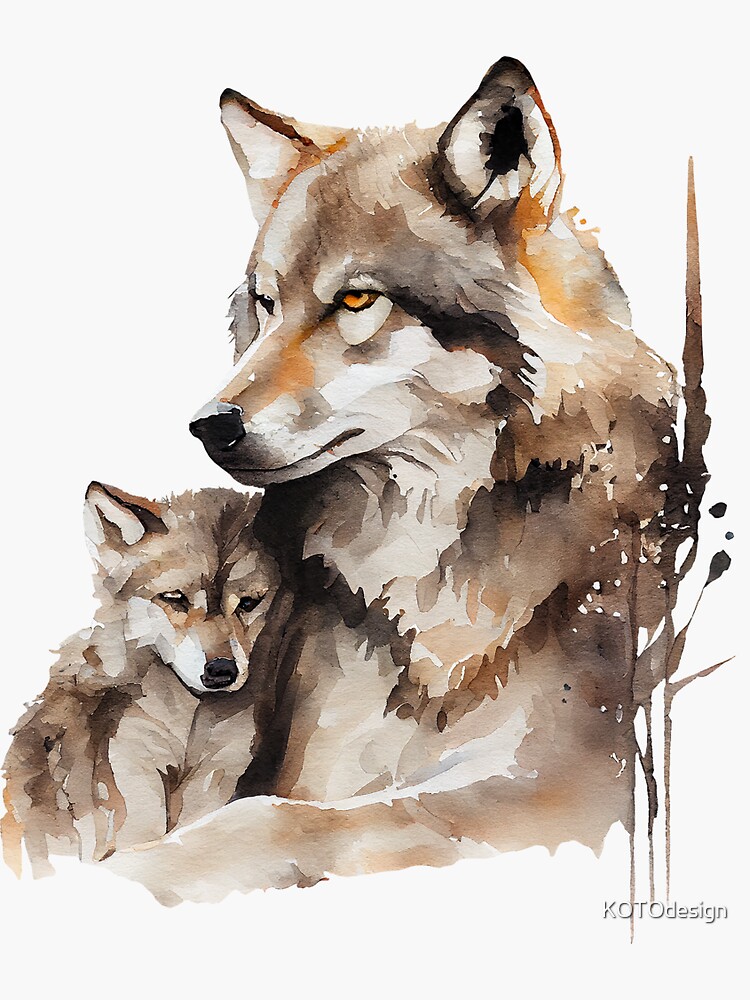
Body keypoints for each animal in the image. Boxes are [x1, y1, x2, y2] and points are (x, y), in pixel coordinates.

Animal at [2, 483, 291, 874]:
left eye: (248, 603)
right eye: (175, 599)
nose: (221, 671)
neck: (189, 729)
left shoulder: (216, 778)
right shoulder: (134, 780)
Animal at [108, 57, 696, 903]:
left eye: (356, 299)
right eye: (266, 303)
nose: (208, 425)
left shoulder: (575, 782)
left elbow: (289, 821)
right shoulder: (321, 759)